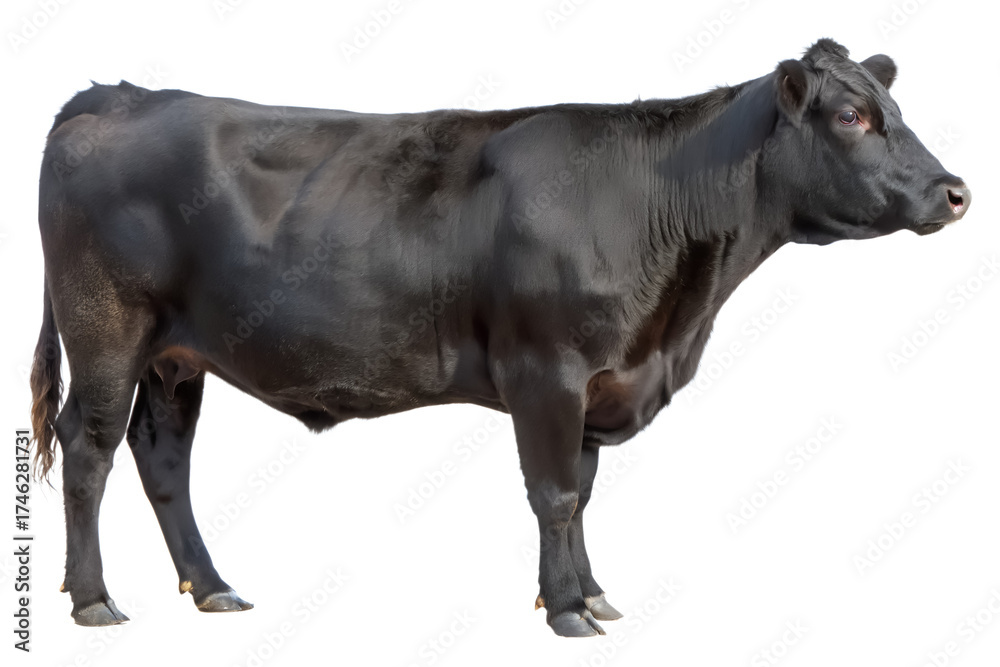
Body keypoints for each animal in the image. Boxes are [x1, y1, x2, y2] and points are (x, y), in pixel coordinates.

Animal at [30, 38, 969, 637]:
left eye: (891, 105)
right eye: (851, 117)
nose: (956, 191)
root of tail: (116, 94)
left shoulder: (598, 381)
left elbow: (582, 494)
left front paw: (593, 593)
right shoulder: (545, 370)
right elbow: (552, 494)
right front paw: (567, 611)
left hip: (176, 355)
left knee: (162, 457)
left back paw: (213, 588)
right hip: (108, 330)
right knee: (89, 448)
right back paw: (92, 599)